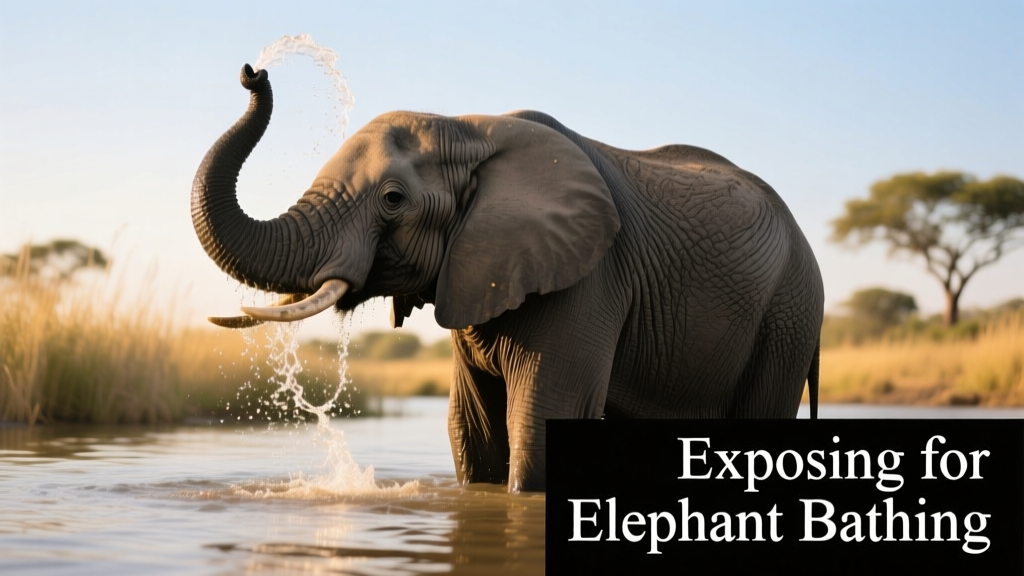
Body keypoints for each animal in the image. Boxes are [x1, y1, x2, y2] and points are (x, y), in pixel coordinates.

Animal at [192, 65, 824, 492]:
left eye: (393, 199)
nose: (253, 72)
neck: (471, 130)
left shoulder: (588, 279)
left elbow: (539, 422)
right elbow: (471, 432)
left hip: (788, 313)